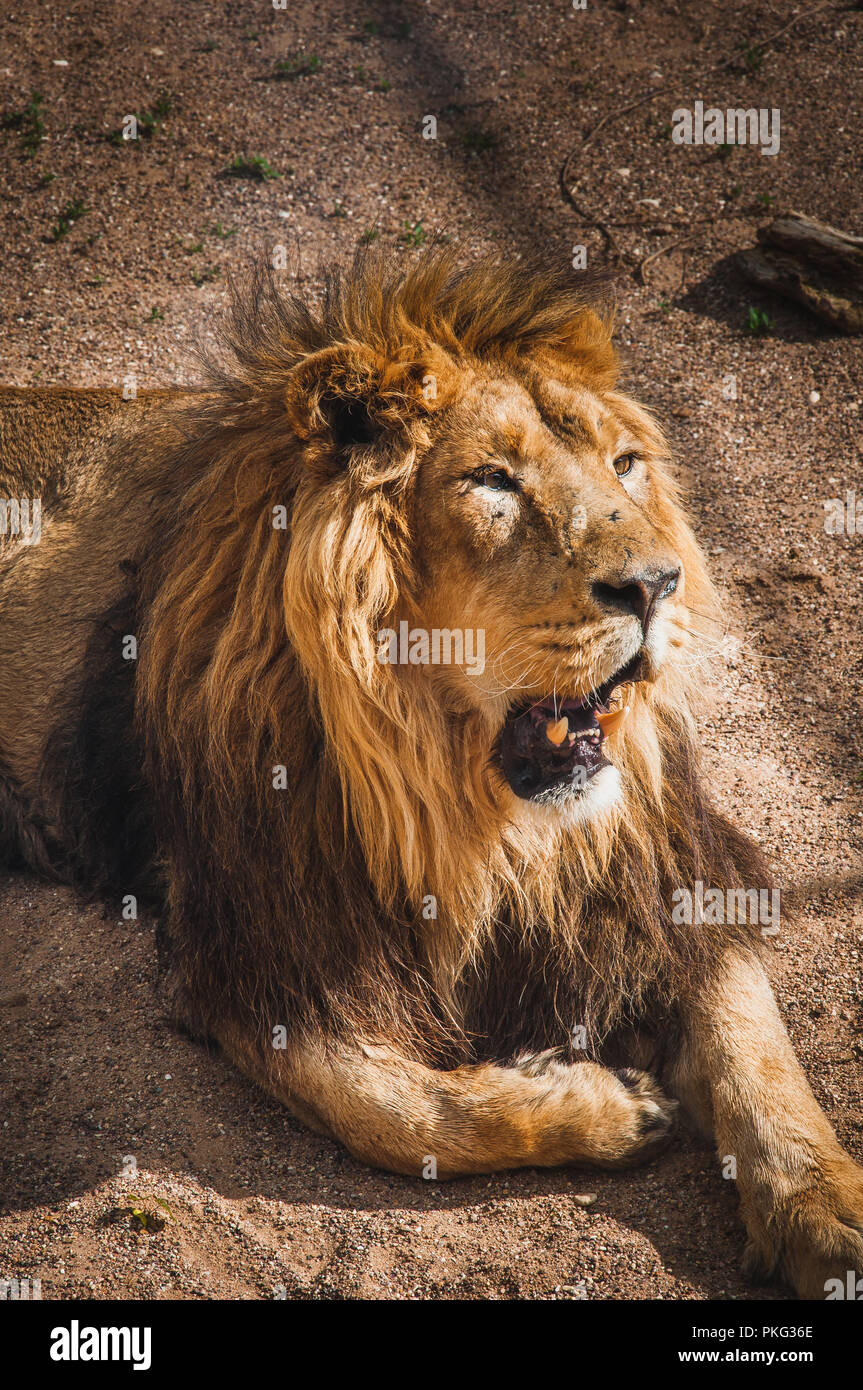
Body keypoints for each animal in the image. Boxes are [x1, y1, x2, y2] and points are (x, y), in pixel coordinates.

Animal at [1, 247, 861, 1299]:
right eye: (492, 481)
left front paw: (826, 1211)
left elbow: (761, 1063)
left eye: (624, 464)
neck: (469, 812)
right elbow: (399, 1111)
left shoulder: (664, 869)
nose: (656, 586)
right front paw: (606, 1105)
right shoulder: (262, 935)